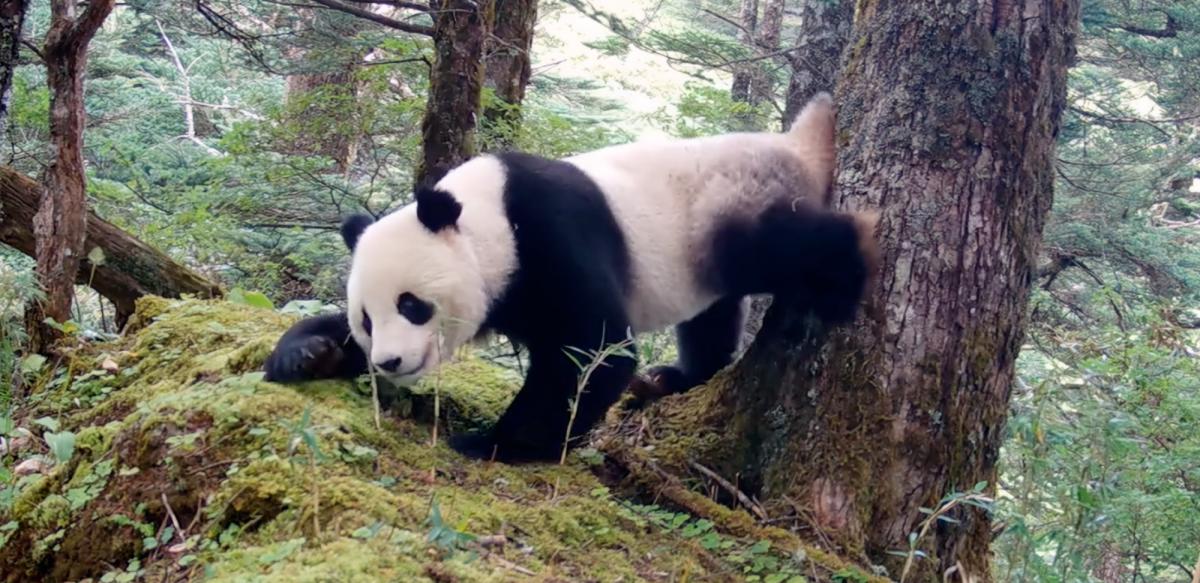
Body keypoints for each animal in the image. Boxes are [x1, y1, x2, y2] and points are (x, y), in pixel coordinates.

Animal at [263, 93, 878, 462]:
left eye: (413, 304)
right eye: (367, 319)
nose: (390, 362)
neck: (490, 214)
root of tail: (792, 144)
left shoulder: (550, 235)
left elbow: (595, 349)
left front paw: (493, 442)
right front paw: (306, 354)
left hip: (734, 203)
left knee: (790, 245)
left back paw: (847, 274)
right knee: (713, 318)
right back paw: (675, 377)